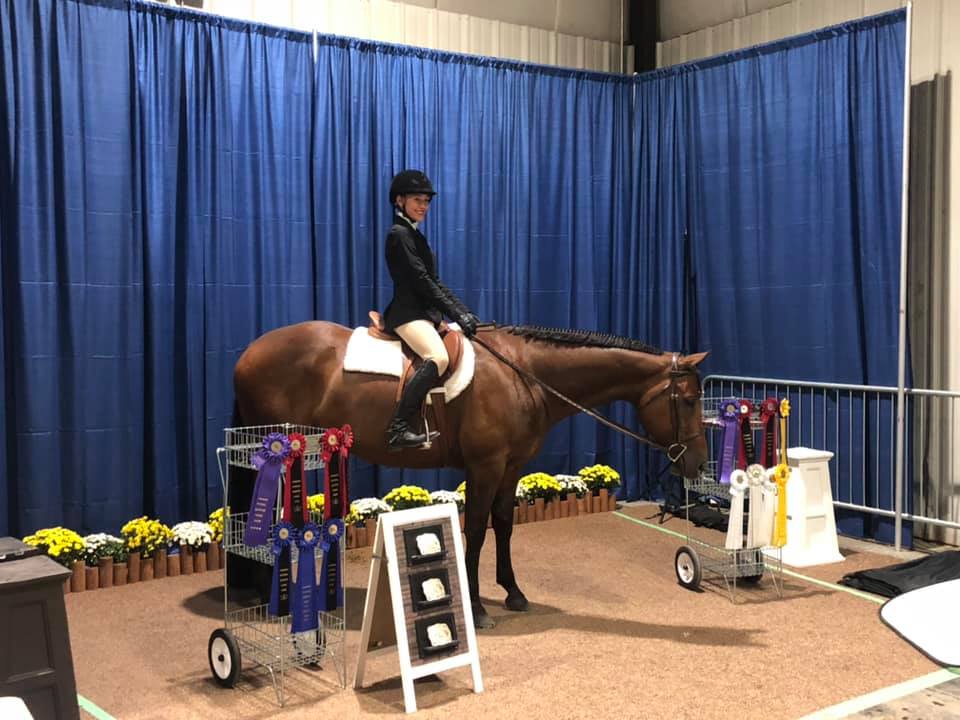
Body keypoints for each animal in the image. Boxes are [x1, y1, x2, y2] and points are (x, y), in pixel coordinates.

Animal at [233, 321, 709, 628]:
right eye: (687, 400)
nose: (700, 464)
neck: (524, 374)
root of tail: (249, 353)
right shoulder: (486, 466)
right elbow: (477, 530)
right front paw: (476, 607)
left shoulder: (512, 466)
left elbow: (504, 524)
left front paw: (513, 593)